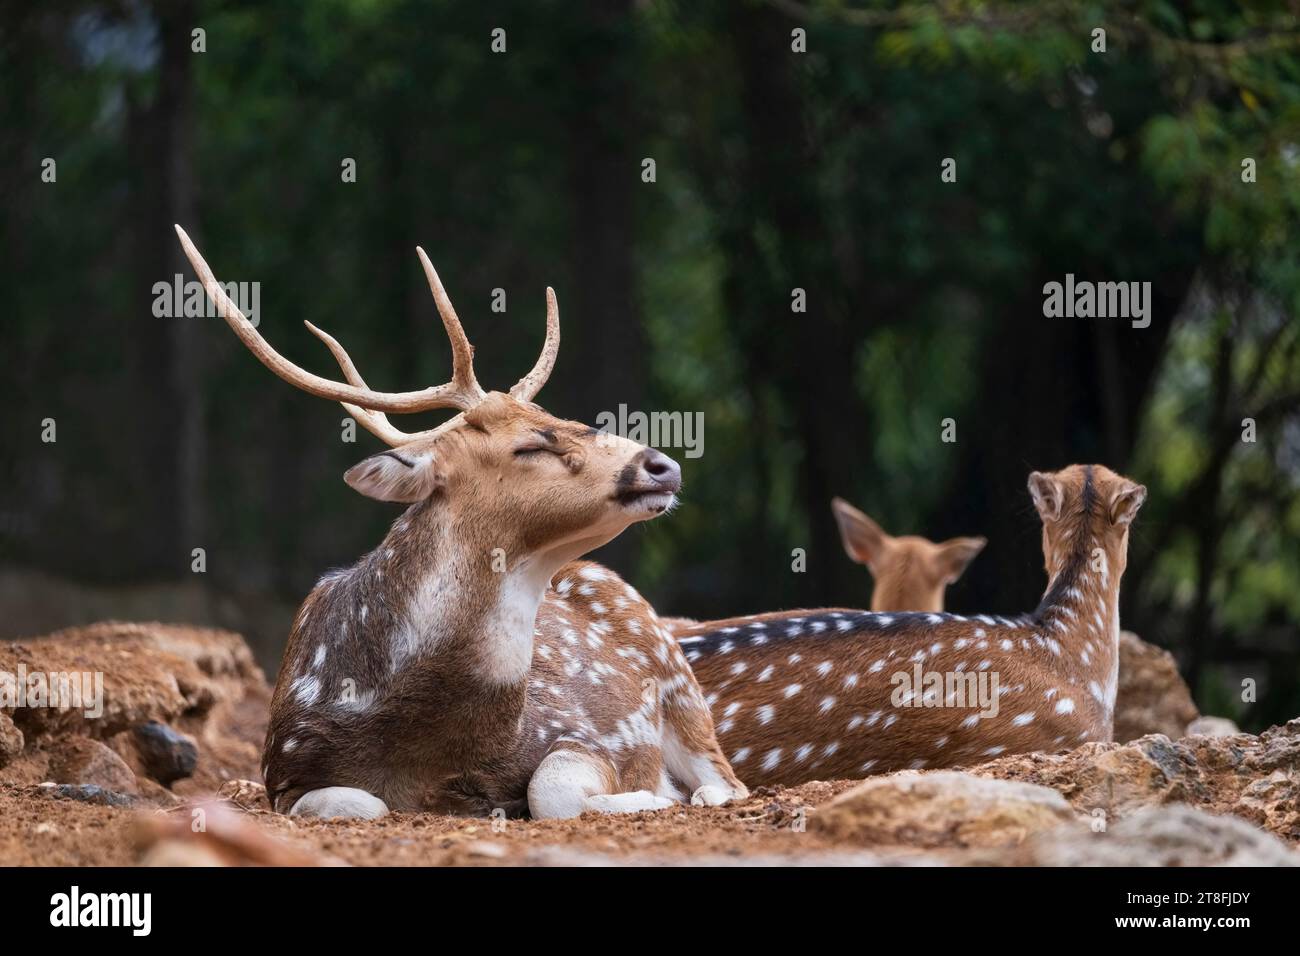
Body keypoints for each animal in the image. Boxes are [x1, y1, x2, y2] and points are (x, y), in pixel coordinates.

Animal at [173, 225, 747, 820]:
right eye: (528, 445)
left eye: (558, 416)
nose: (663, 465)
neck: (429, 752)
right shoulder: (283, 767)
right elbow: (358, 802)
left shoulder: (583, 730)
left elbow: (551, 791)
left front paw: (649, 796)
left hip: (675, 674)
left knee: (728, 781)